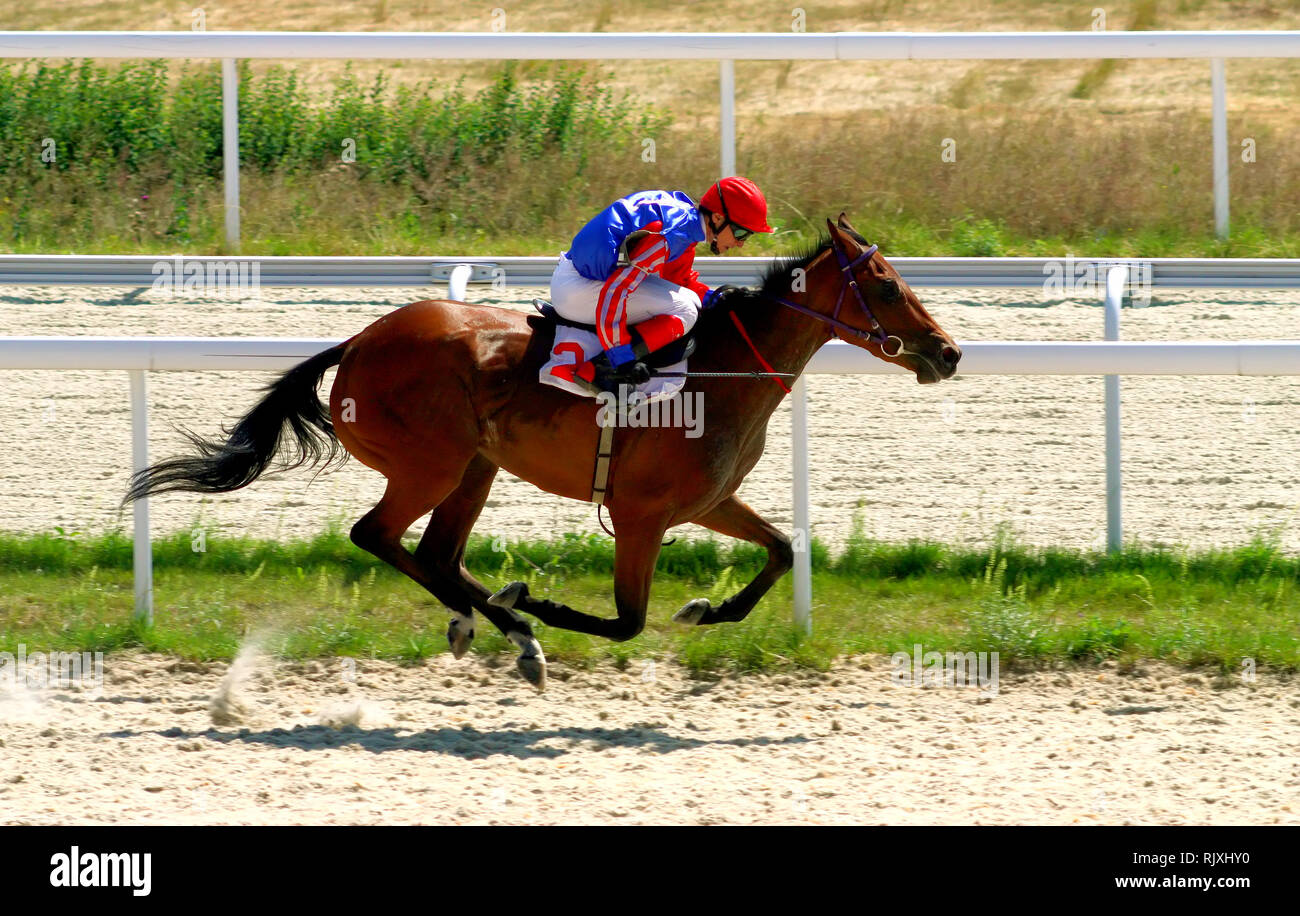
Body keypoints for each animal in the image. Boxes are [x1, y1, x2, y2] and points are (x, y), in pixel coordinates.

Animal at [125, 215, 961, 689]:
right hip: (431, 463)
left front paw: (708, 609)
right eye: (887, 286)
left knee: (435, 554)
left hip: (476, 467)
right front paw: (544, 604)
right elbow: (625, 622)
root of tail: (358, 342)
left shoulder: (710, 500)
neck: (722, 370)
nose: (948, 353)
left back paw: (502, 627)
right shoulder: (641, 514)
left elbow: (783, 550)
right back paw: (498, 620)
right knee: (379, 535)